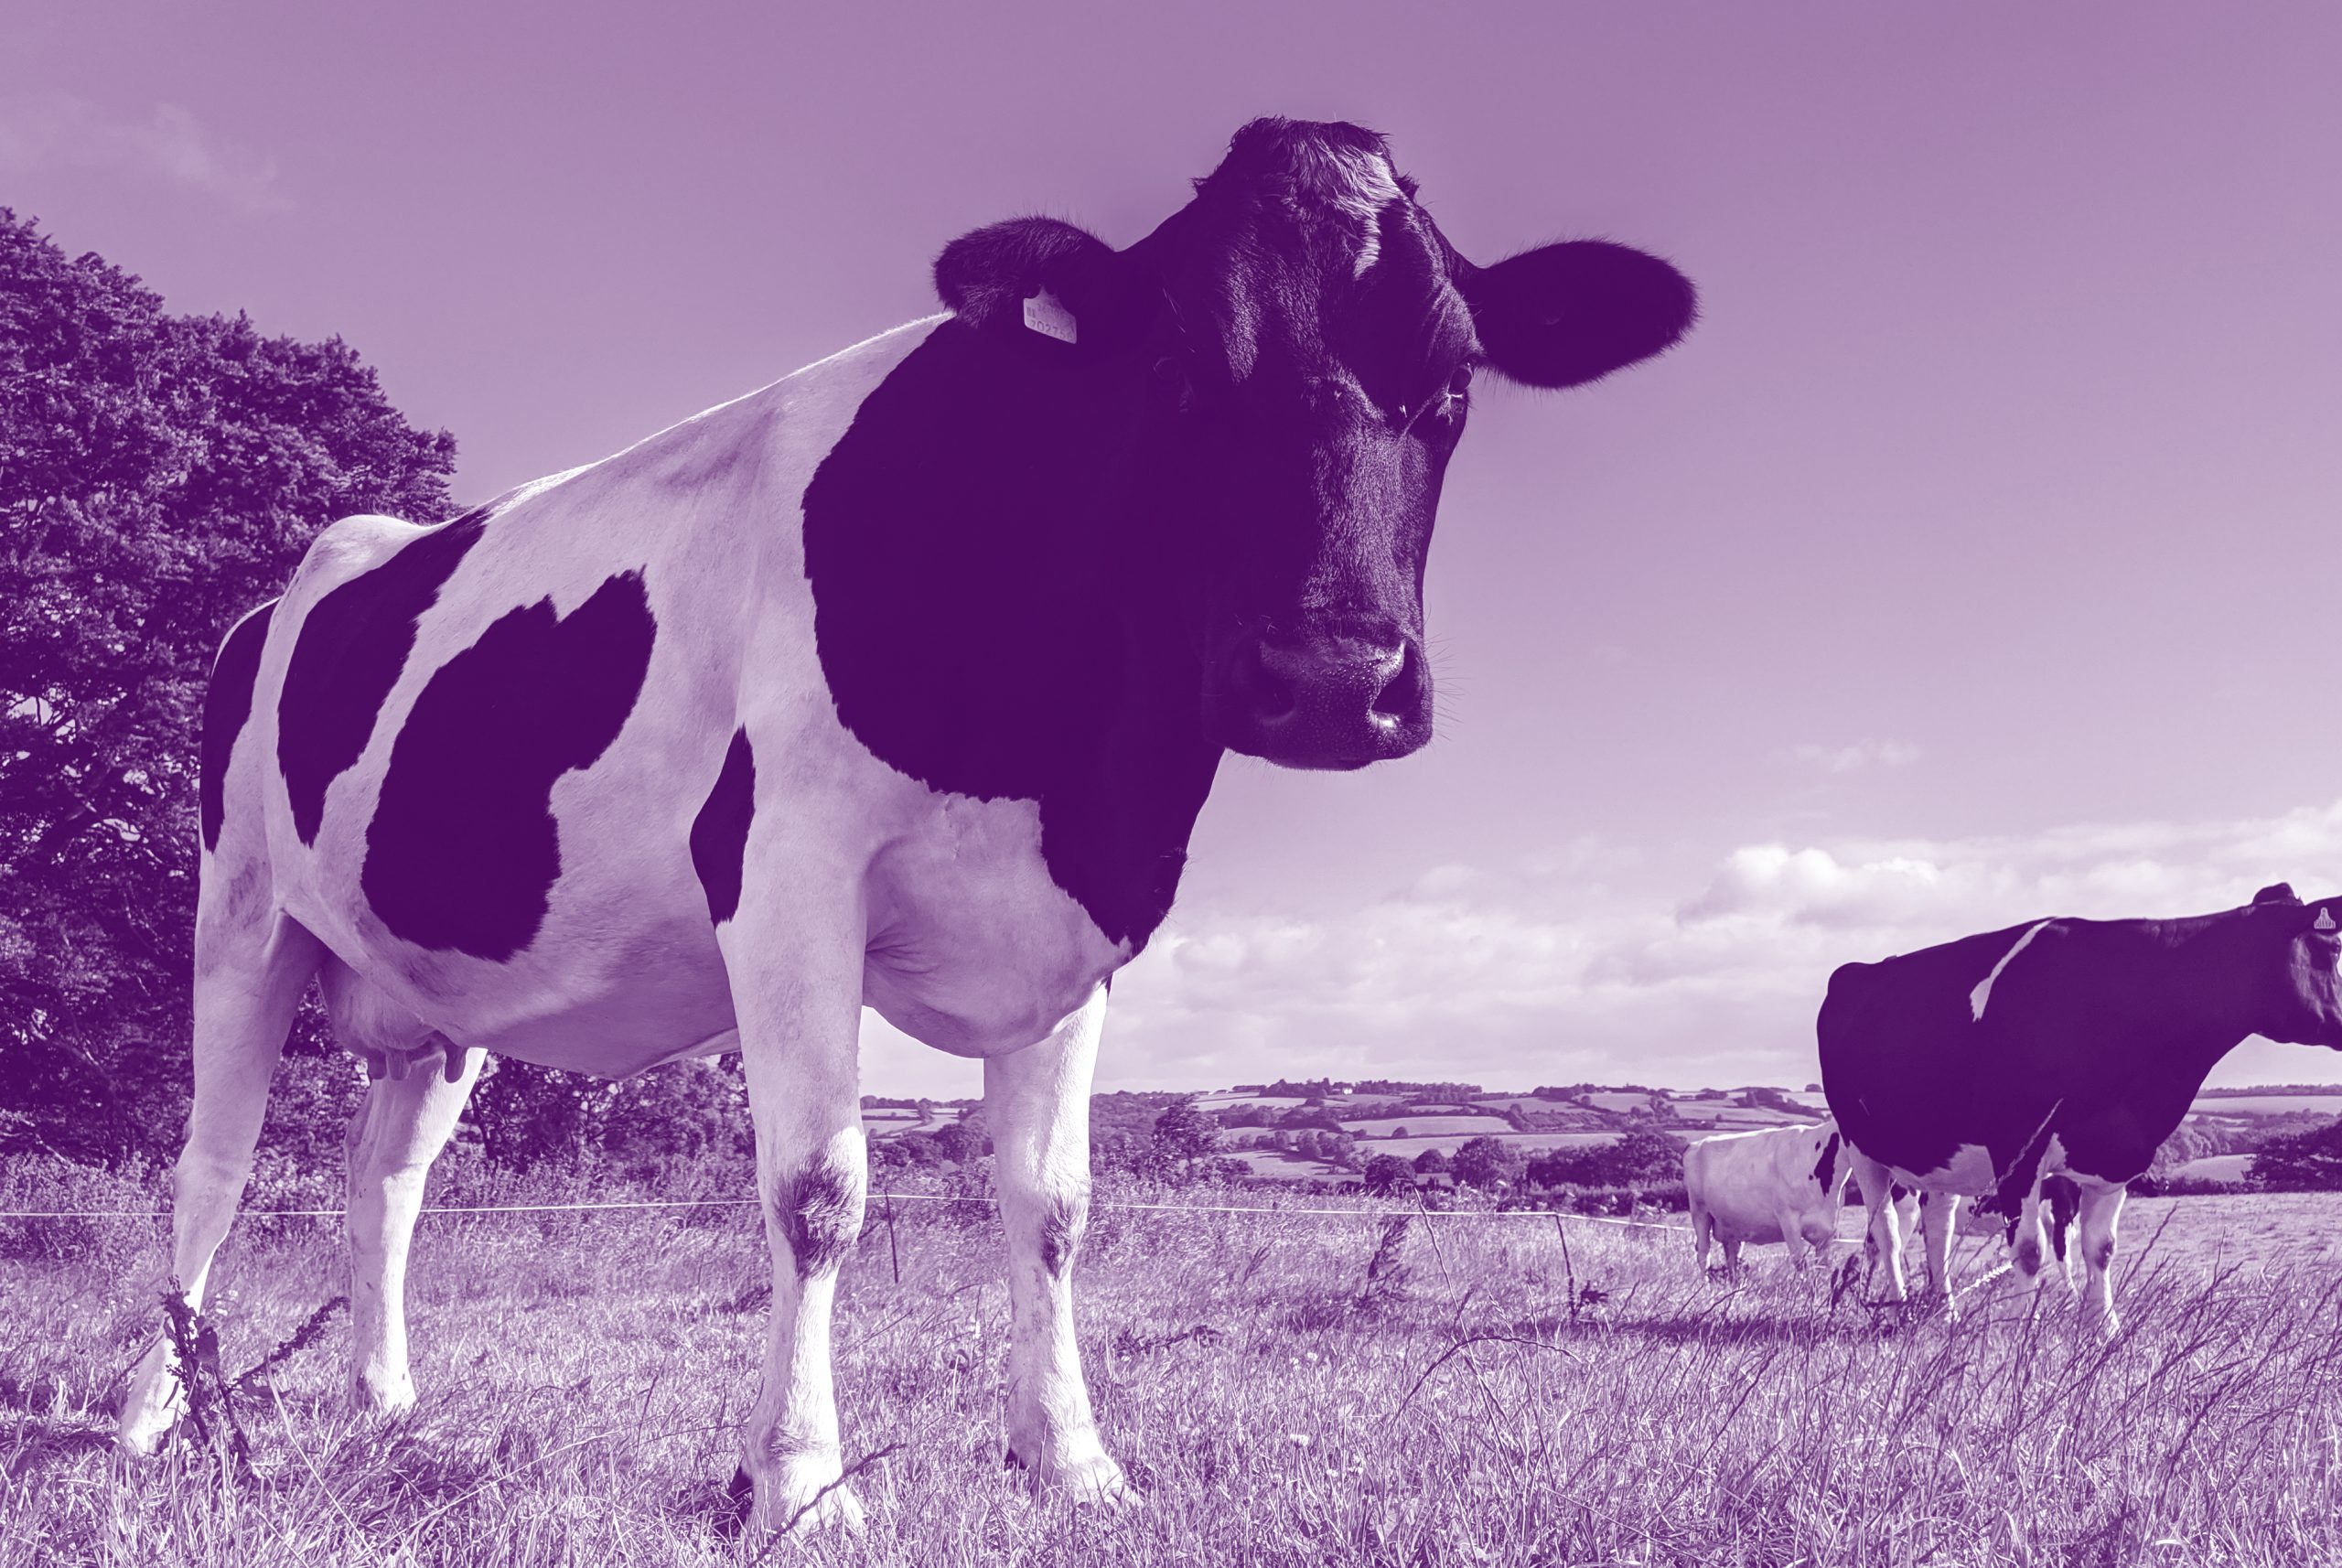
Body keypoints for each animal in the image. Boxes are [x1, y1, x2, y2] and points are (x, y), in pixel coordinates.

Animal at [114, 118, 1696, 1535]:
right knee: (212, 1163)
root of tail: (313, 567)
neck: (1066, 748)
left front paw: (1074, 1463)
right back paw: (153, 1413)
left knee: (381, 1180)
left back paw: (387, 1404)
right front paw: (802, 1484)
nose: (1331, 680)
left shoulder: (1079, 918)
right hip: (239, 918)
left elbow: (1052, 1204)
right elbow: (820, 1190)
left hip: (440, 1001)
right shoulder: (785, 877)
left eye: (1456, 380)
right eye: (1182, 365)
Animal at [1683, 1119, 1850, 1270]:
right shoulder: (1788, 1219)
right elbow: (1799, 1262)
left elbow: (1823, 1267)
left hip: (1732, 1223)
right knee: (1703, 1254)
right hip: (1700, 1212)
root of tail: (1695, 1144)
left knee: (1733, 1258)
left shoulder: (1828, 1230)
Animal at [1820, 883, 2342, 1330]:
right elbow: (2030, 1249)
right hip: (1862, 1145)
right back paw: (1897, 1310)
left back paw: (1945, 1313)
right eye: (2334, 948)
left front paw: (2103, 1328)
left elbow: (2101, 1248)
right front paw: (2017, 1331)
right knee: (1886, 1231)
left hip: (1942, 1150)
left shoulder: (2118, 1151)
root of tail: (1854, 970)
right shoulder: (2016, 1146)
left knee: (1937, 1224)